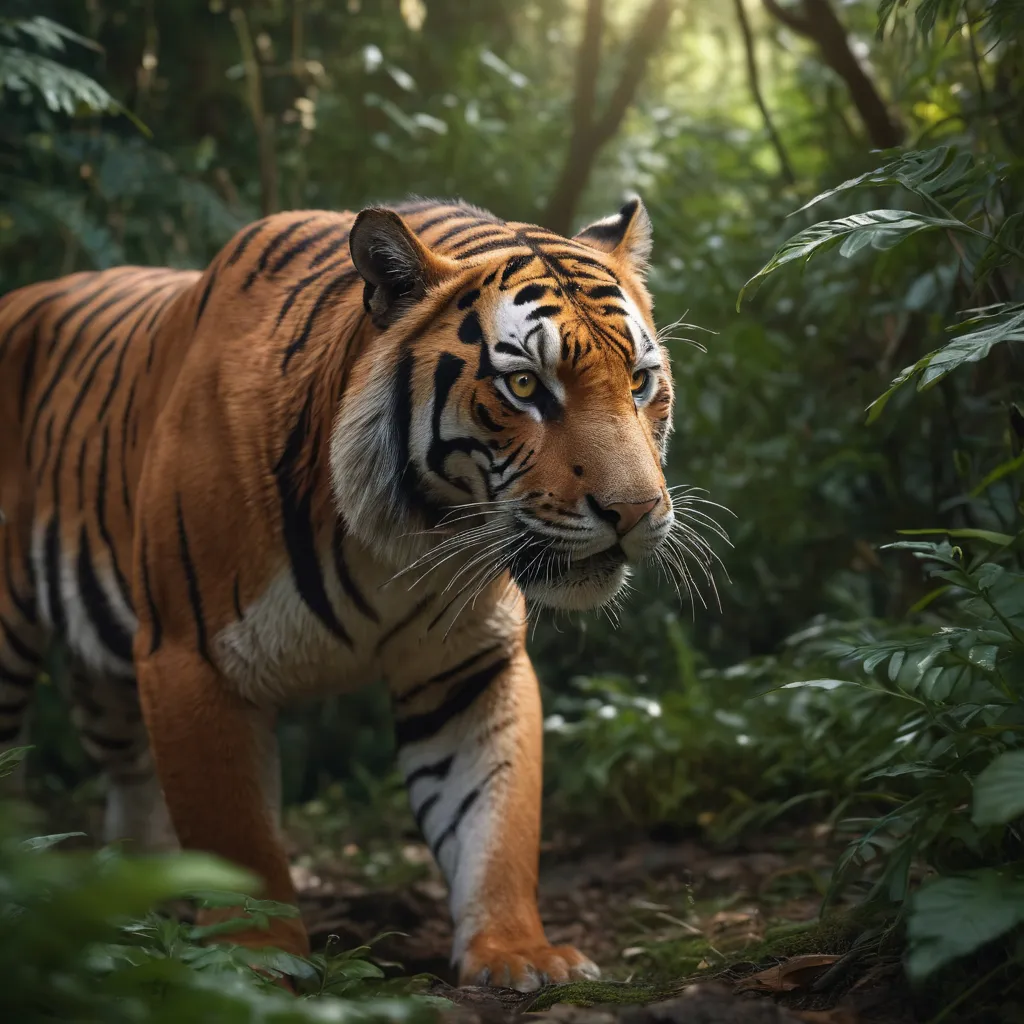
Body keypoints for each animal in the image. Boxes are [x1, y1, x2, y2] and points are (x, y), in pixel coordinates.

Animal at [0, 195, 689, 991]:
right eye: (524, 388)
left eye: (638, 381)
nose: (635, 512)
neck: (402, 537)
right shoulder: (187, 660)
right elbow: (236, 835)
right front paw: (255, 960)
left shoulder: (469, 666)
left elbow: (494, 816)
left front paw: (518, 952)